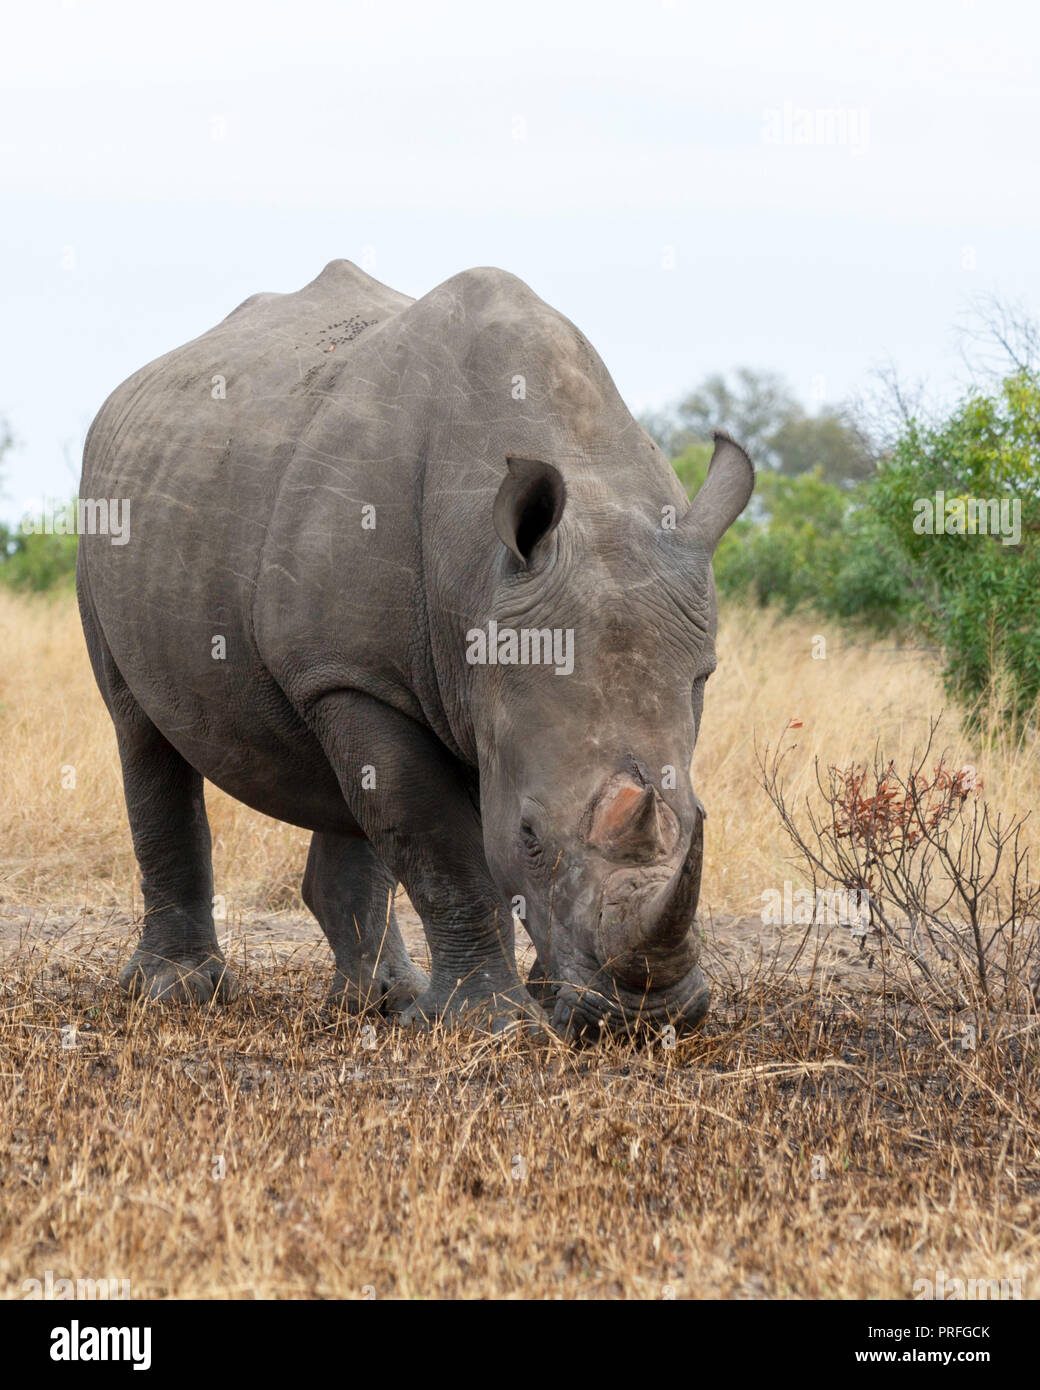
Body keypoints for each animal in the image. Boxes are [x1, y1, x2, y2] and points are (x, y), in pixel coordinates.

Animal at [77, 260, 753, 1037]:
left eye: (698, 821)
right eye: (529, 835)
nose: (644, 1019)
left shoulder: (424, 671)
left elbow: (415, 822)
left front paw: (533, 1004)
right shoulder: (358, 676)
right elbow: (444, 846)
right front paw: (491, 1025)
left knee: (342, 782)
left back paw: (379, 1002)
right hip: (109, 515)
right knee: (139, 728)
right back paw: (179, 993)